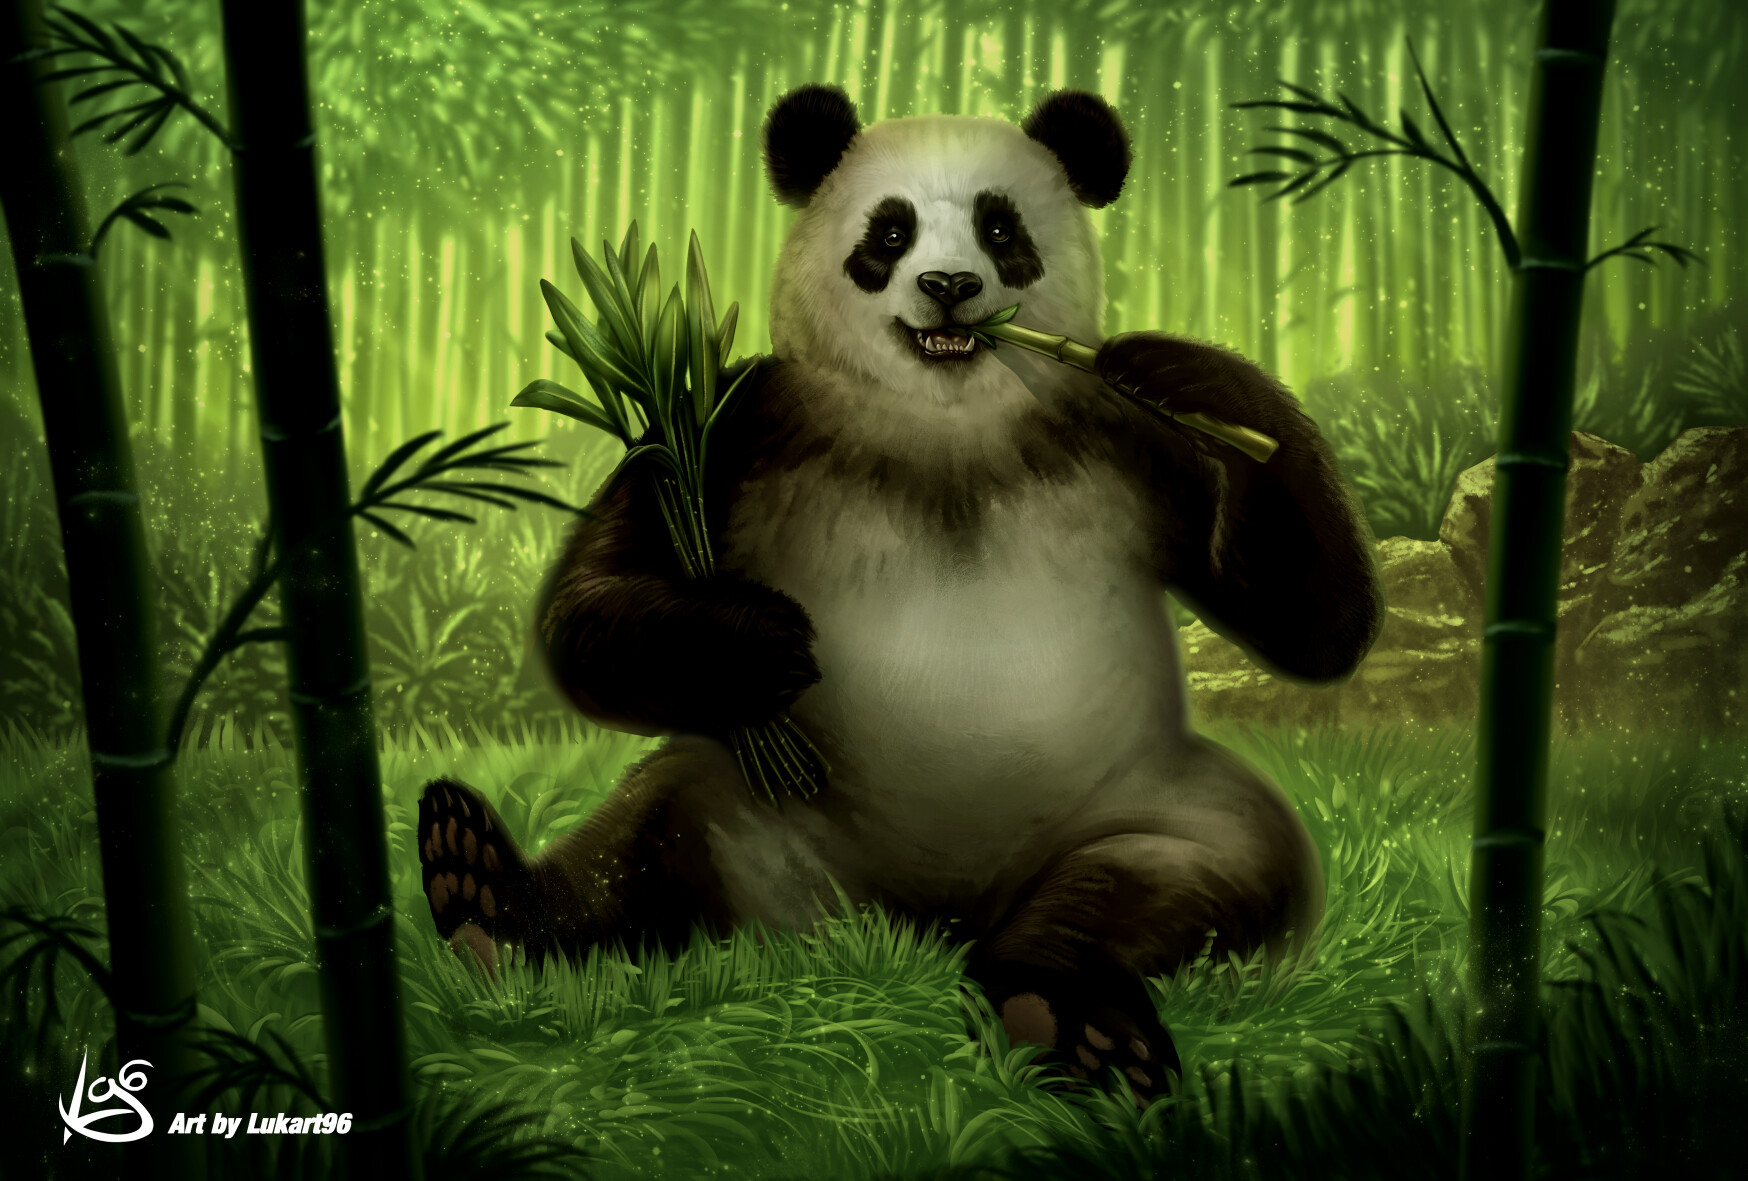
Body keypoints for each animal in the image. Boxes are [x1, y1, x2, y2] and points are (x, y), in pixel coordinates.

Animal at [419, 84, 1383, 1101]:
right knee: (641, 835)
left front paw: (1182, 373)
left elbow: (1317, 618)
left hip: (1146, 804)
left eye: (1001, 227)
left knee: (1196, 868)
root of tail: (917, 921)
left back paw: (1066, 1016)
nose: (950, 284)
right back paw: (480, 892)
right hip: (753, 801)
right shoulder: (740, 427)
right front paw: (764, 639)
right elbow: (593, 598)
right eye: (890, 231)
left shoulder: (1123, 437)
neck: (940, 430)